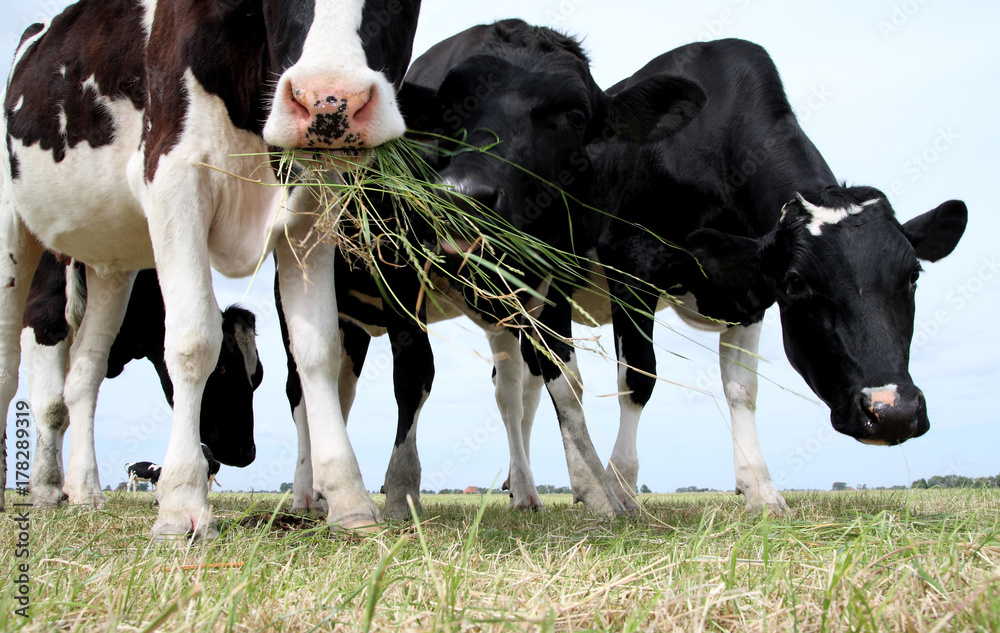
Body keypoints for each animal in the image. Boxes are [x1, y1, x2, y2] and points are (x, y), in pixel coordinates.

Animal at [22, 252, 261, 508]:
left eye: (258, 377)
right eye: (221, 367)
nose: (247, 452)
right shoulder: (45, 315)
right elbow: (53, 407)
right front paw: (46, 488)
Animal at [494, 39, 968, 513]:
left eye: (913, 277)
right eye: (796, 282)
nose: (892, 412)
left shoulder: (748, 289)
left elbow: (743, 387)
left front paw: (759, 488)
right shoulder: (633, 264)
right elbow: (638, 378)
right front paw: (623, 486)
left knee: (533, 386)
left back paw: (534, 485)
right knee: (526, 388)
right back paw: (565, 486)